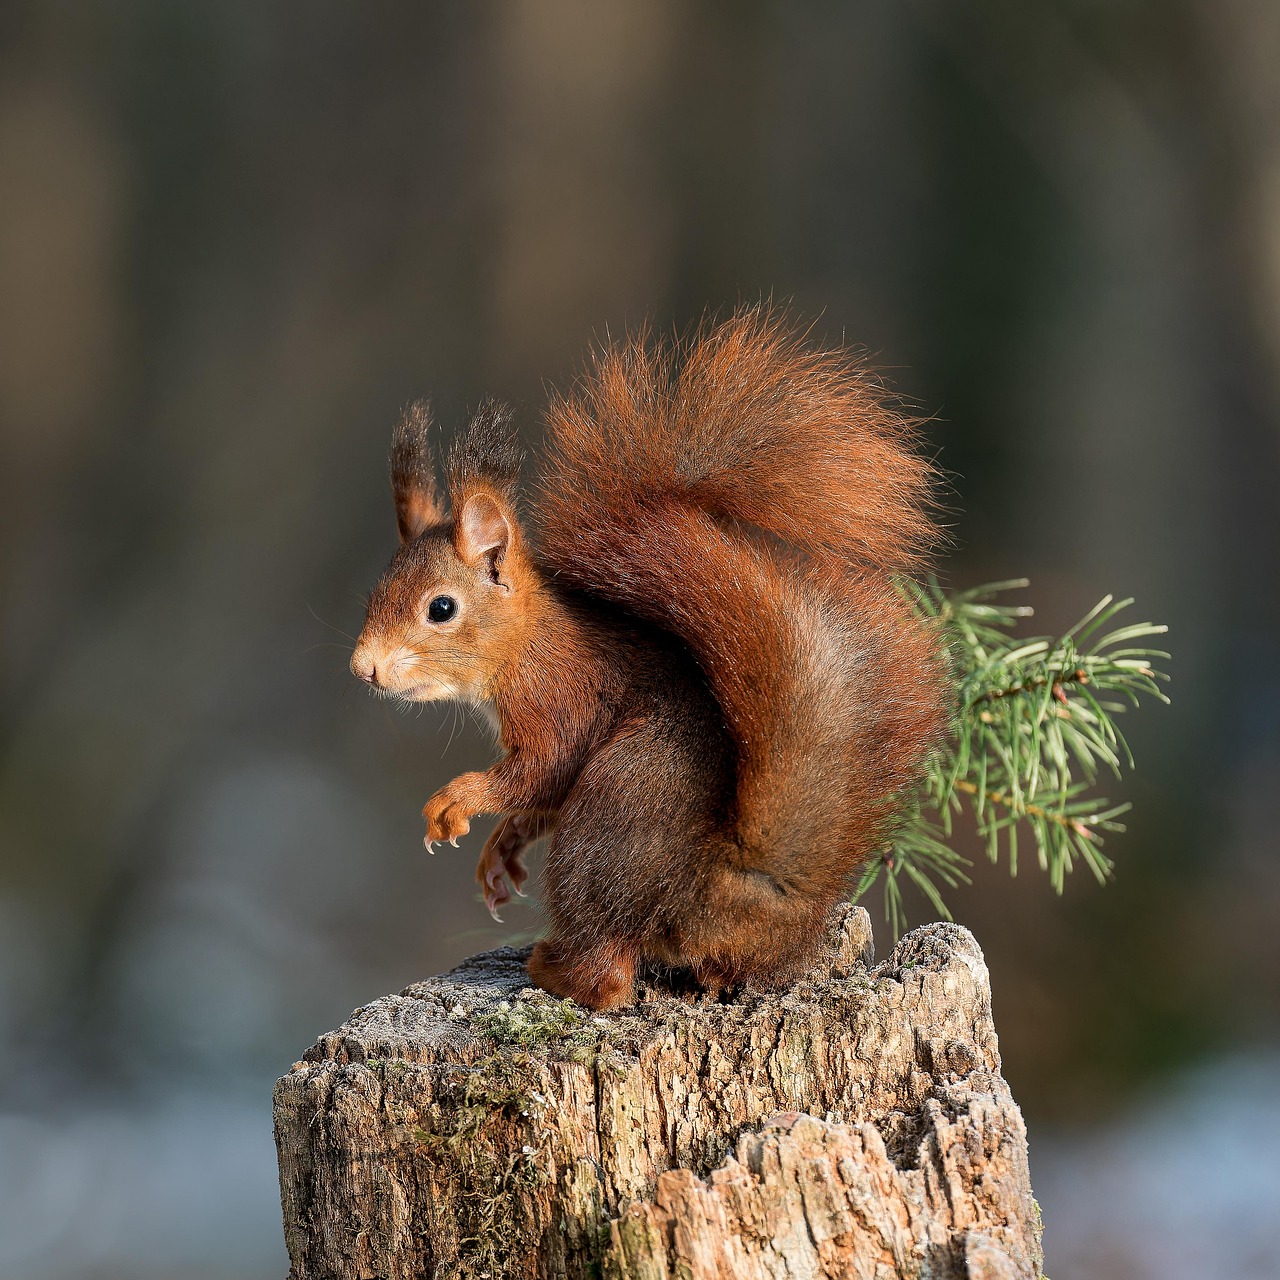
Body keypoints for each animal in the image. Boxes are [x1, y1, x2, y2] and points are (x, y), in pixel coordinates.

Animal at [350, 311, 949, 1011]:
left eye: (440, 609)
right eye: (377, 589)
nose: (363, 668)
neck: (523, 644)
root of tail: (723, 897)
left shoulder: (559, 698)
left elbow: (540, 772)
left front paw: (457, 800)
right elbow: (539, 801)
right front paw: (503, 850)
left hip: (609, 815)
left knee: (610, 975)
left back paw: (553, 970)